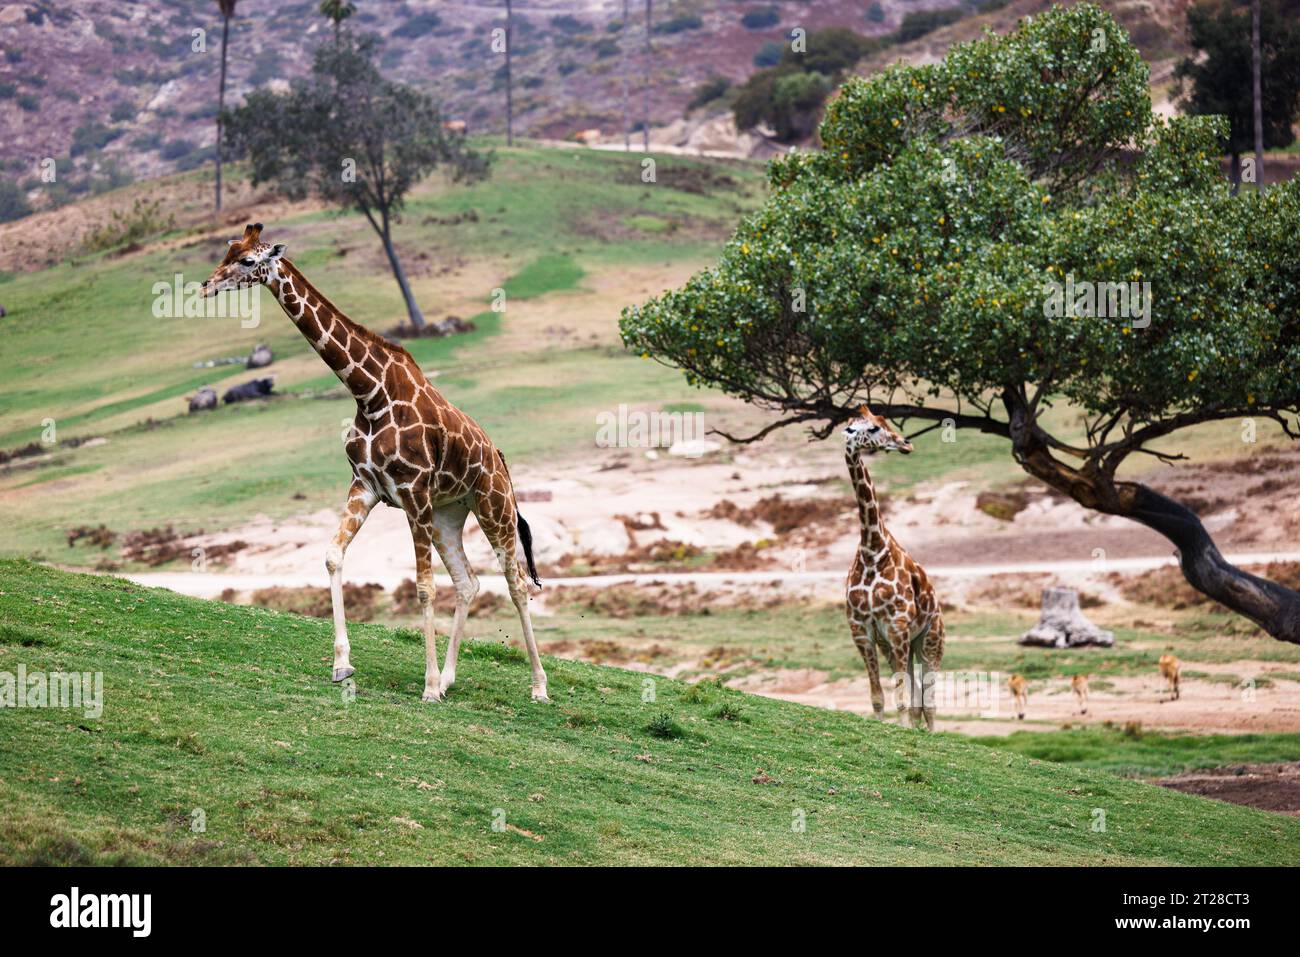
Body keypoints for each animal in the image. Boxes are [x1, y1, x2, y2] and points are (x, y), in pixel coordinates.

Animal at [202, 224, 549, 704]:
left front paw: (427, 688)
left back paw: (536, 687)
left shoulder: (413, 492)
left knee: (515, 583)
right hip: (448, 513)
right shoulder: (365, 486)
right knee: (468, 582)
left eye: (248, 261)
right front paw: (342, 666)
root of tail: (499, 458)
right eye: (227, 251)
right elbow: (332, 556)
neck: (370, 392)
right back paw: (450, 678)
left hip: (492, 505)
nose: (206, 286)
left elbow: (423, 587)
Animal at [843, 406, 945, 730]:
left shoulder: (897, 625)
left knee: (929, 699)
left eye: (884, 422)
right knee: (917, 697)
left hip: (930, 639)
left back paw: (932, 734)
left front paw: (904, 732)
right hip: (900, 644)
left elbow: (903, 696)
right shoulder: (862, 629)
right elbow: (880, 695)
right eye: (874, 428)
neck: (872, 550)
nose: (906, 444)